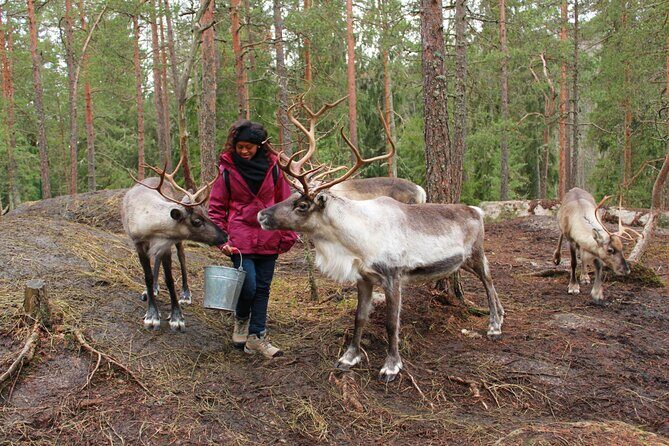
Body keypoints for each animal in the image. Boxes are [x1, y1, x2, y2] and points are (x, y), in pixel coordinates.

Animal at [122, 157, 227, 331]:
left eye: (206, 213)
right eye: (197, 221)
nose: (225, 235)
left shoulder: (166, 244)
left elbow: (170, 279)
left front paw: (177, 317)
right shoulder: (139, 244)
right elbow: (147, 277)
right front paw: (152, 314)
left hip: (176, 243)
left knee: (182, 257)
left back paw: (185, 294)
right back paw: (153, 289)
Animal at [258, 100, 503, 382]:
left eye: (302, 205)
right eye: (291, 195)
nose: (261, 215)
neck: (355, 241)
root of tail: (477, 210)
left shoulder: (393, 276)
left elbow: (391, 323)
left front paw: (391, 365)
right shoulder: (364, 278)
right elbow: (359, 317)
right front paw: (349, 357)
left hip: (475, 253)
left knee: (488, 280)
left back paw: (494, 326)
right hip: (463, 261)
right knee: (490, 277)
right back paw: (501, 315)